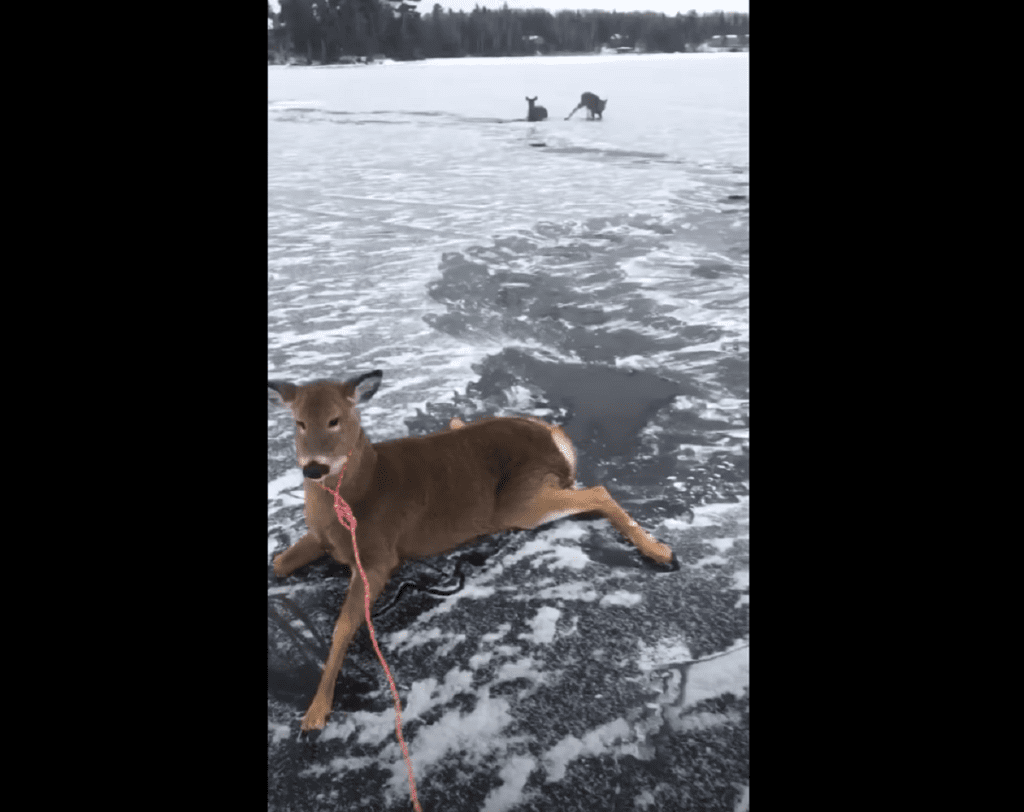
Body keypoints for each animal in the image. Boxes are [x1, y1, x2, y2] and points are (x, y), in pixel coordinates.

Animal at [268, 370, 675, 731]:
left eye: (335, 420)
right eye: (298, 422)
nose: (313, 468)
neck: (356, 497)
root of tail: (556, 438)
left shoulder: (378, 556)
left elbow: (342, 626)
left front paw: (315, 713)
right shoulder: (321, 539)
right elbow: (279, 563)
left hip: (519, 502)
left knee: (599, 491)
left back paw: (660, 552)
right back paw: (455, 420)